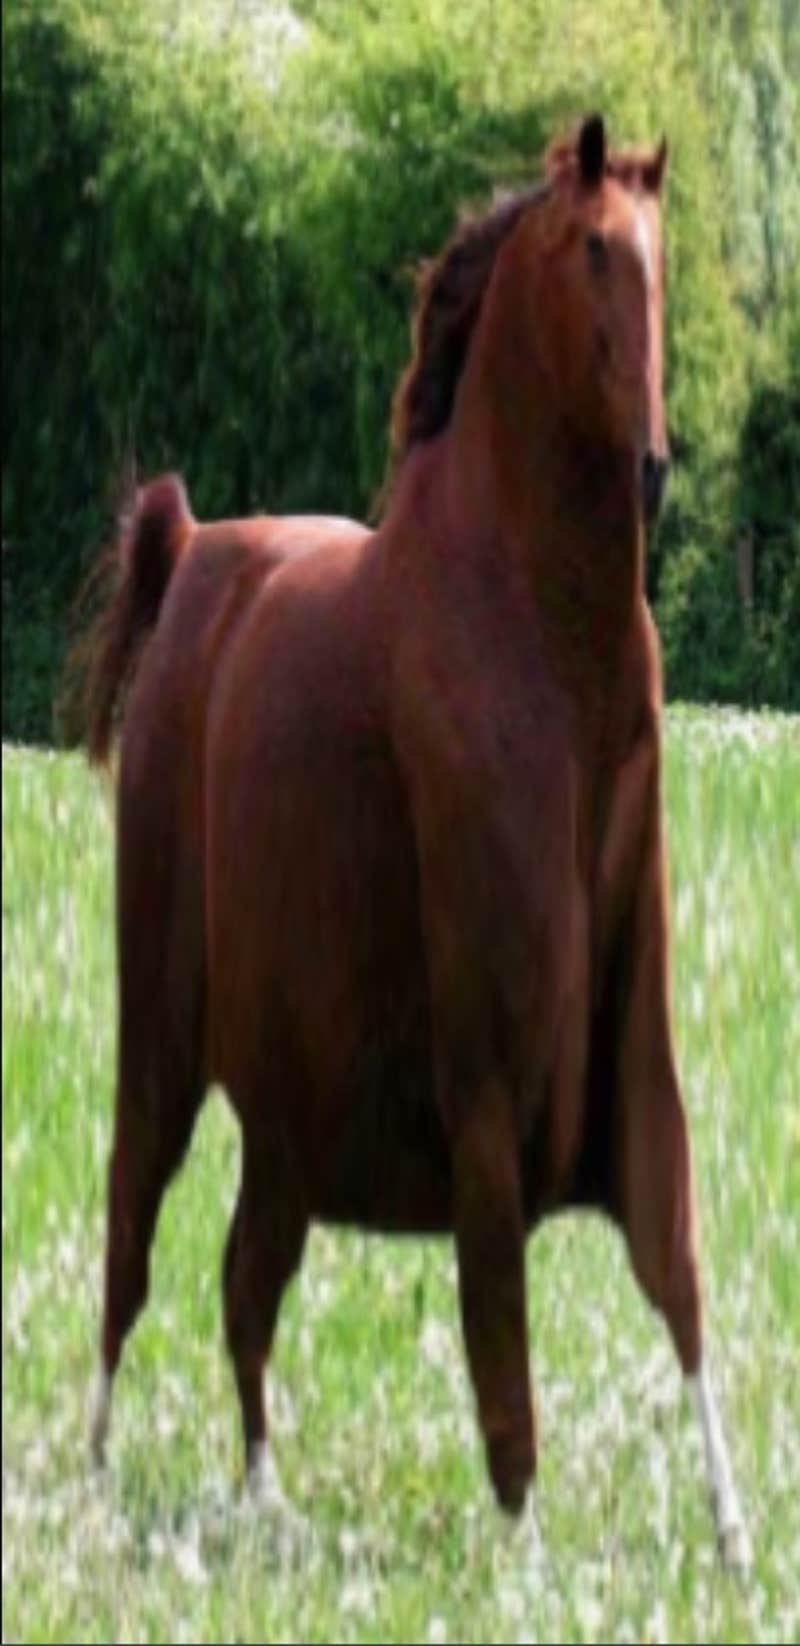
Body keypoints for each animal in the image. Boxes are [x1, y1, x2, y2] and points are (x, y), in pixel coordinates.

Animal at [81, 114, 750, 1571]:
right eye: (592, 251)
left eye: (661, 254)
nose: (655, 468)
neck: (542, 642)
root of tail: (197, 551)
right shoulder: (488, 1063)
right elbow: (498, 1316)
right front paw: (527, 1540)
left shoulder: (633, 1042)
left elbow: (678, 1270)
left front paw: (734, 1533)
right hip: (160, 1030)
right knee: (130, 1239)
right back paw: (92, 1475)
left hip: (285, 1115)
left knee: (244, 1277)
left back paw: (264, 1498)